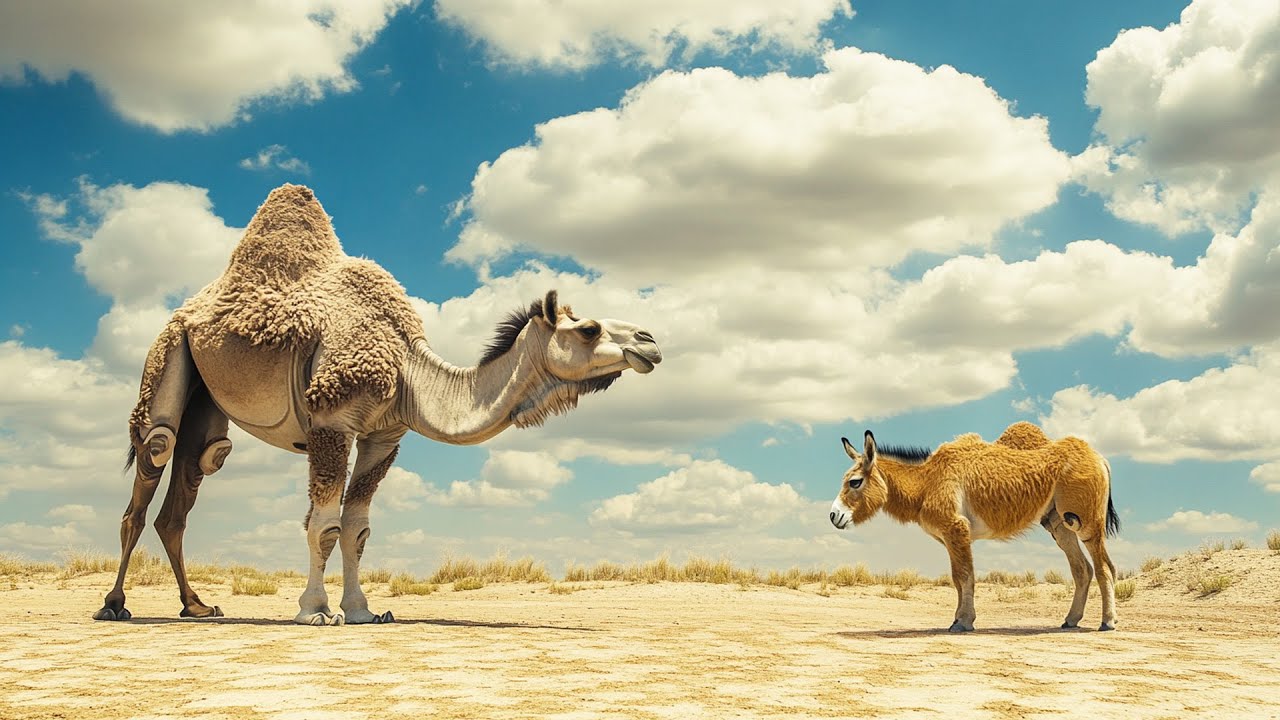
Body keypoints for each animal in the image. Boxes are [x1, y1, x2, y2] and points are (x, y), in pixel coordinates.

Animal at [94, 184, 662, 626]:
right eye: (588, 329)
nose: (651, 341)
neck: (407, 367)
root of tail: (187, 311)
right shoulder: (331, 420)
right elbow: (324, 525)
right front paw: (315, 611)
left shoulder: (383, 436)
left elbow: (357, 528)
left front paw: (364, 610)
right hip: (168, 352)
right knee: (152, 456)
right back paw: (114, 604)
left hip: (207, 400)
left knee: (192, 478)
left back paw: (196, 606)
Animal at [828, 426, 1120, 632]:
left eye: (855, 482)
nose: (834, 516)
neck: (927, 481)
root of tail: (1098, 457)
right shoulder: (949, 538)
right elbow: (958, 579)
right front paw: (958, 619)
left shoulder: (957, 530)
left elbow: (964, 576)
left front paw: (964, 622)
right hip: (1060, 526)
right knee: (1083, 570)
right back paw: (1071, 620)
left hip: (1086, 525)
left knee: (1105, 568)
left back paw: (1107, 622)